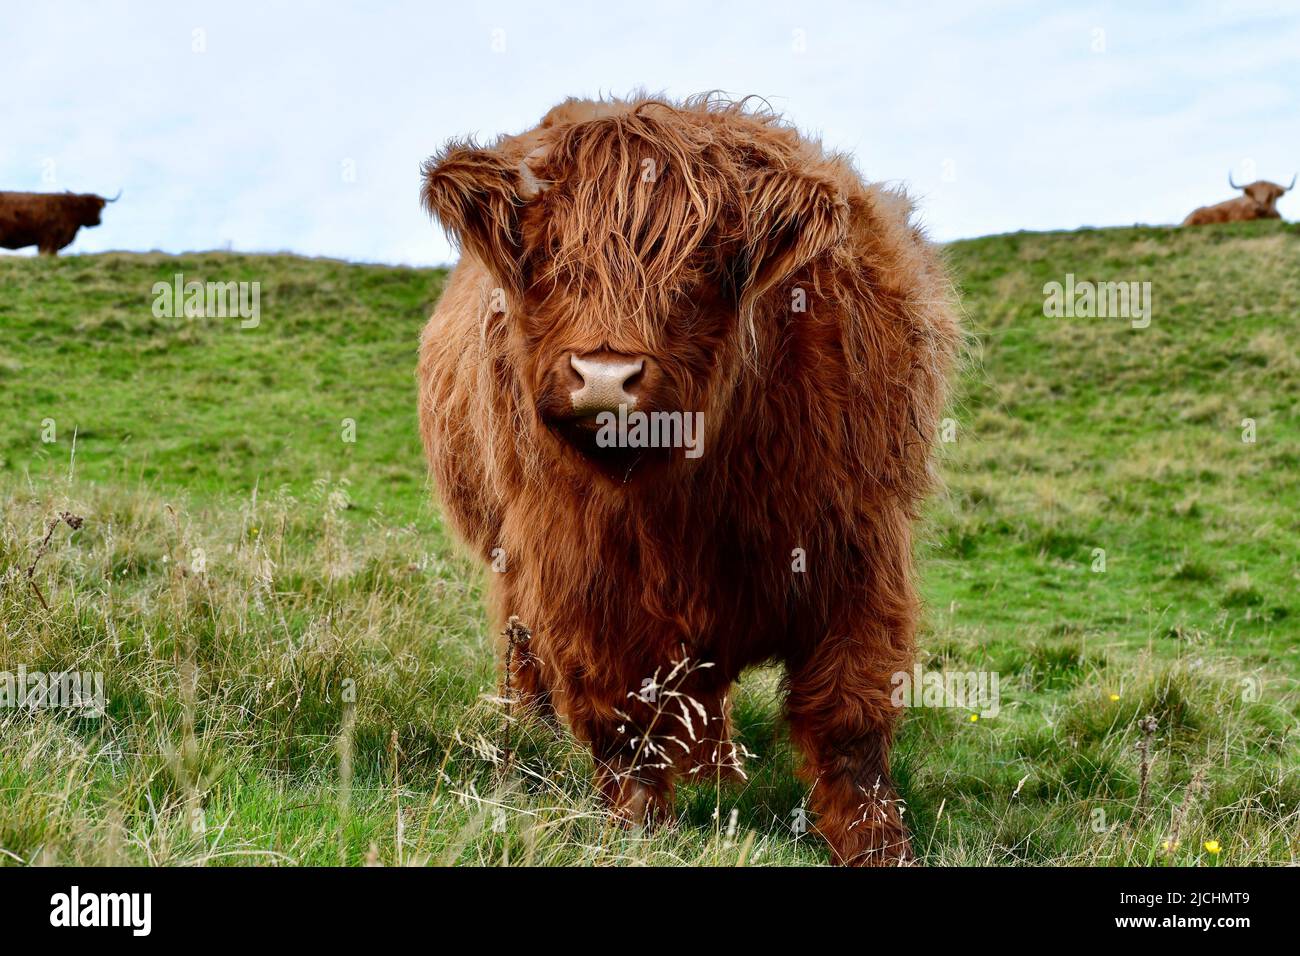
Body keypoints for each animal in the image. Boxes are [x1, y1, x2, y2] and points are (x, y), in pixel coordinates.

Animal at [417, 95, 960, 865]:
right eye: (548, 256)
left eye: (700, 266)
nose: (604, 375)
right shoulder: (583, 575)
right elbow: (623, 720)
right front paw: (636, 833)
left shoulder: (858, 554)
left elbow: (850, 725)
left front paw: (880, 846)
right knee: (524, 653)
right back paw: (529, 739)